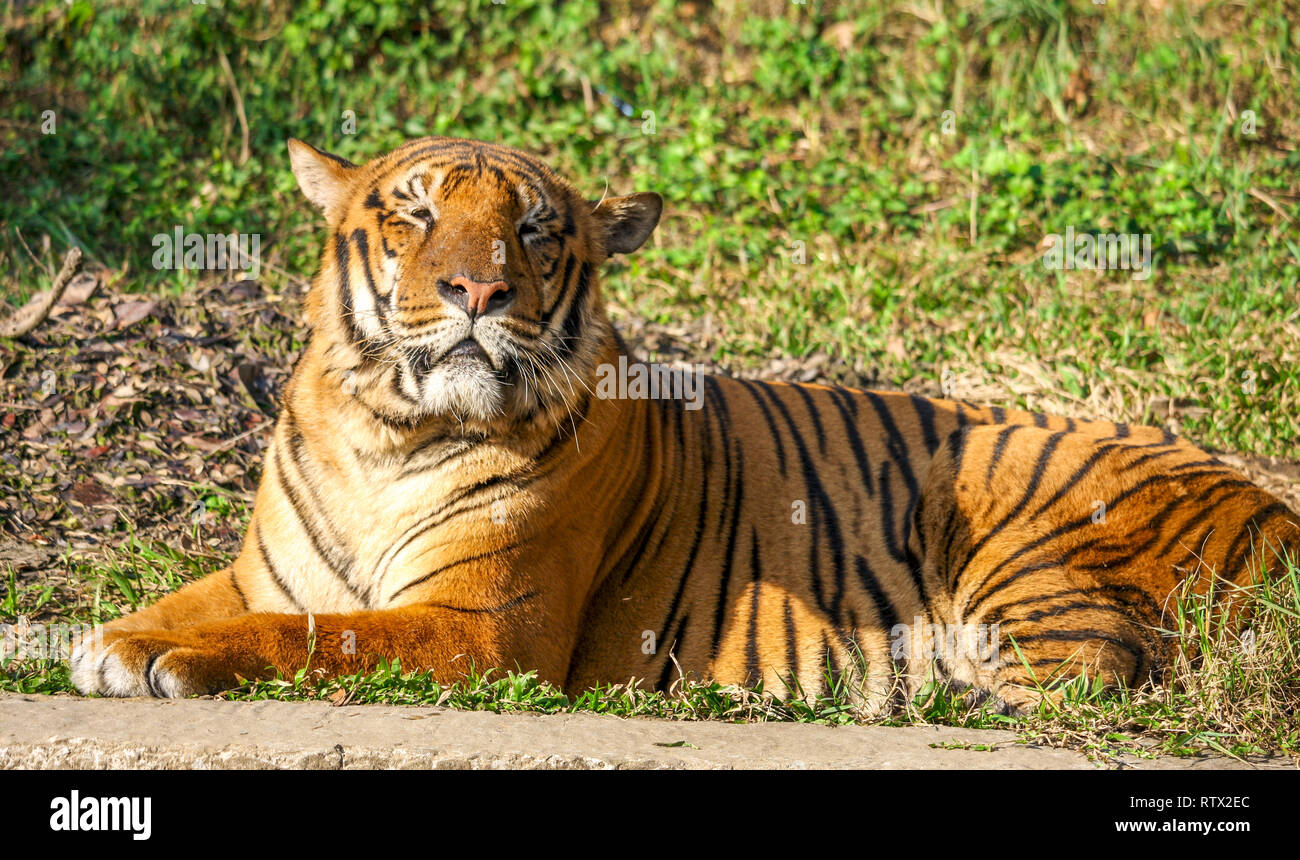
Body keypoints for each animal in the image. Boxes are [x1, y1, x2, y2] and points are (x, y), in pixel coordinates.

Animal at [70, 136, 1300, 715]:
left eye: (534, 228)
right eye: (413, 213)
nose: (478, 290)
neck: (390, 431)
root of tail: (1270, 504)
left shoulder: (484, 626)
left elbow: (321, 636)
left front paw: (168, 661)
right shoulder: (268, 574)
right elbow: (208, 607)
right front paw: (112, 641)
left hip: (1024, 557)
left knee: (1082, 675)